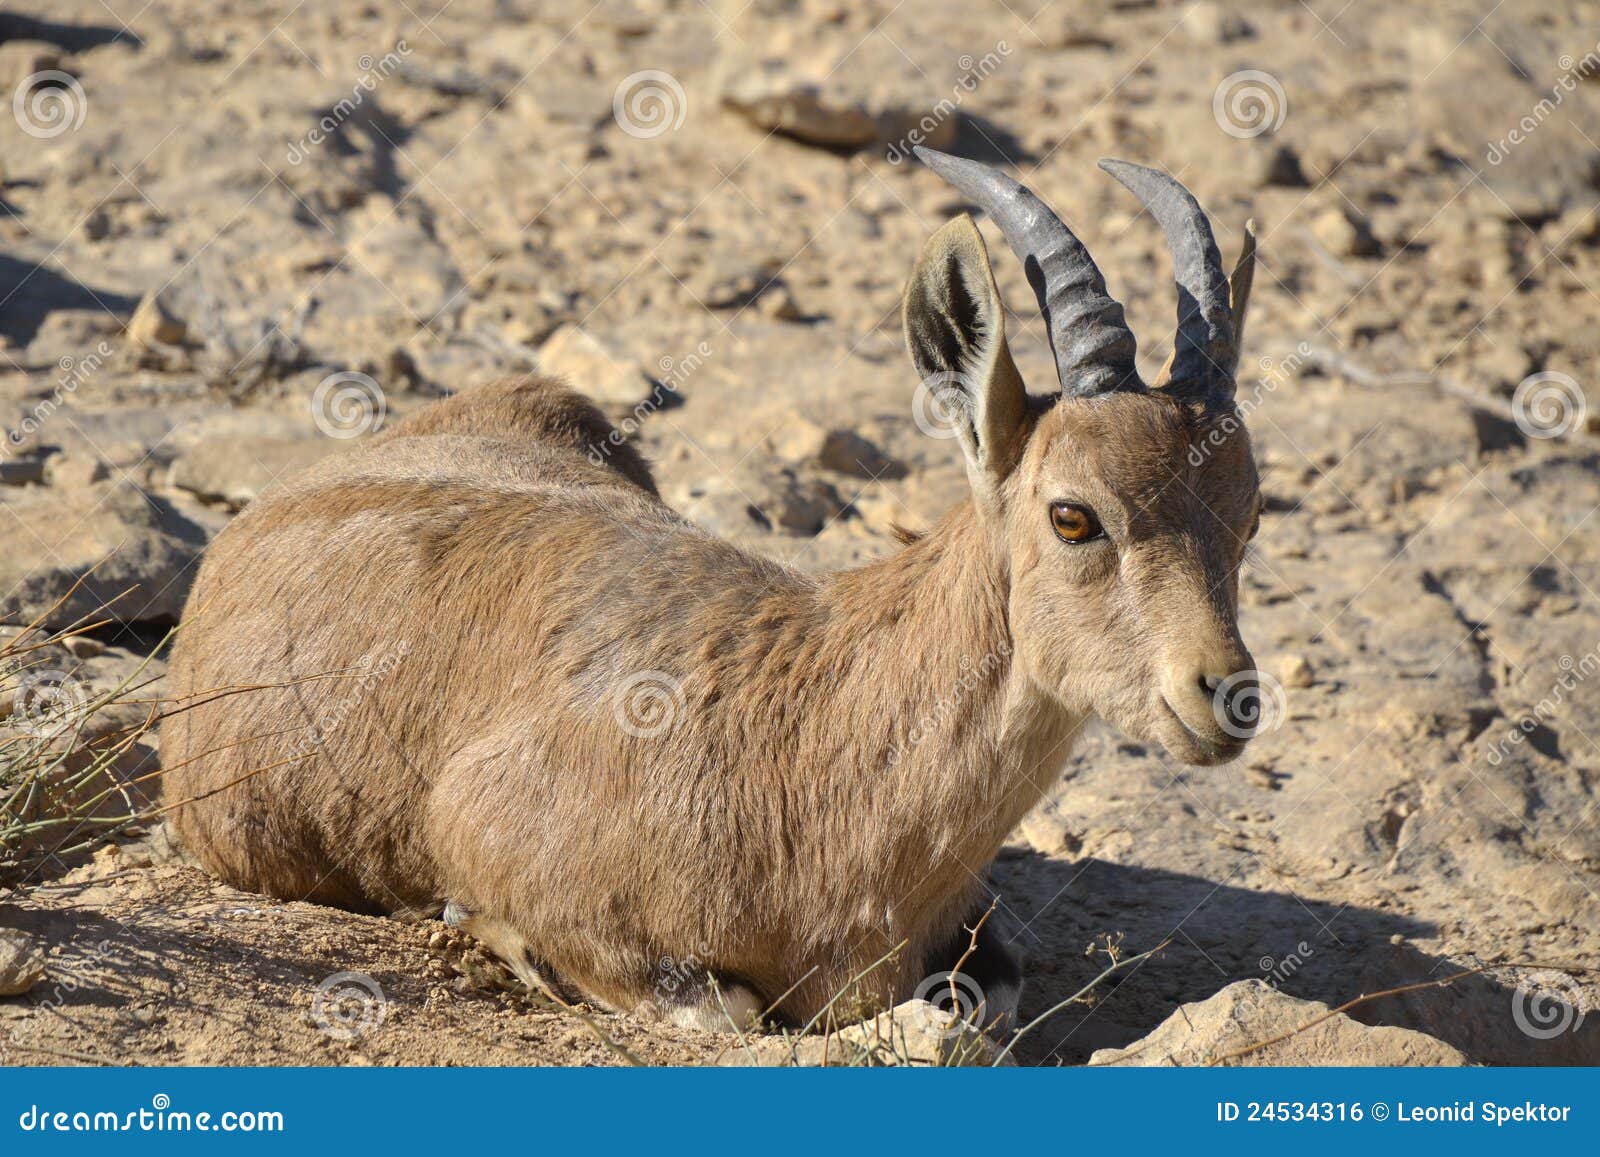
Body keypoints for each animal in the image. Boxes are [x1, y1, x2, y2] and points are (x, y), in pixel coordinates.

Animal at [162, 149, 1264, 1035]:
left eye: (1248, 512)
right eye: (1074, 515)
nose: (1226, 695)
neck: (821, 743)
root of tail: (264, 515)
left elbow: (986, 991)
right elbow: (717, 1008)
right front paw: (490, 934)